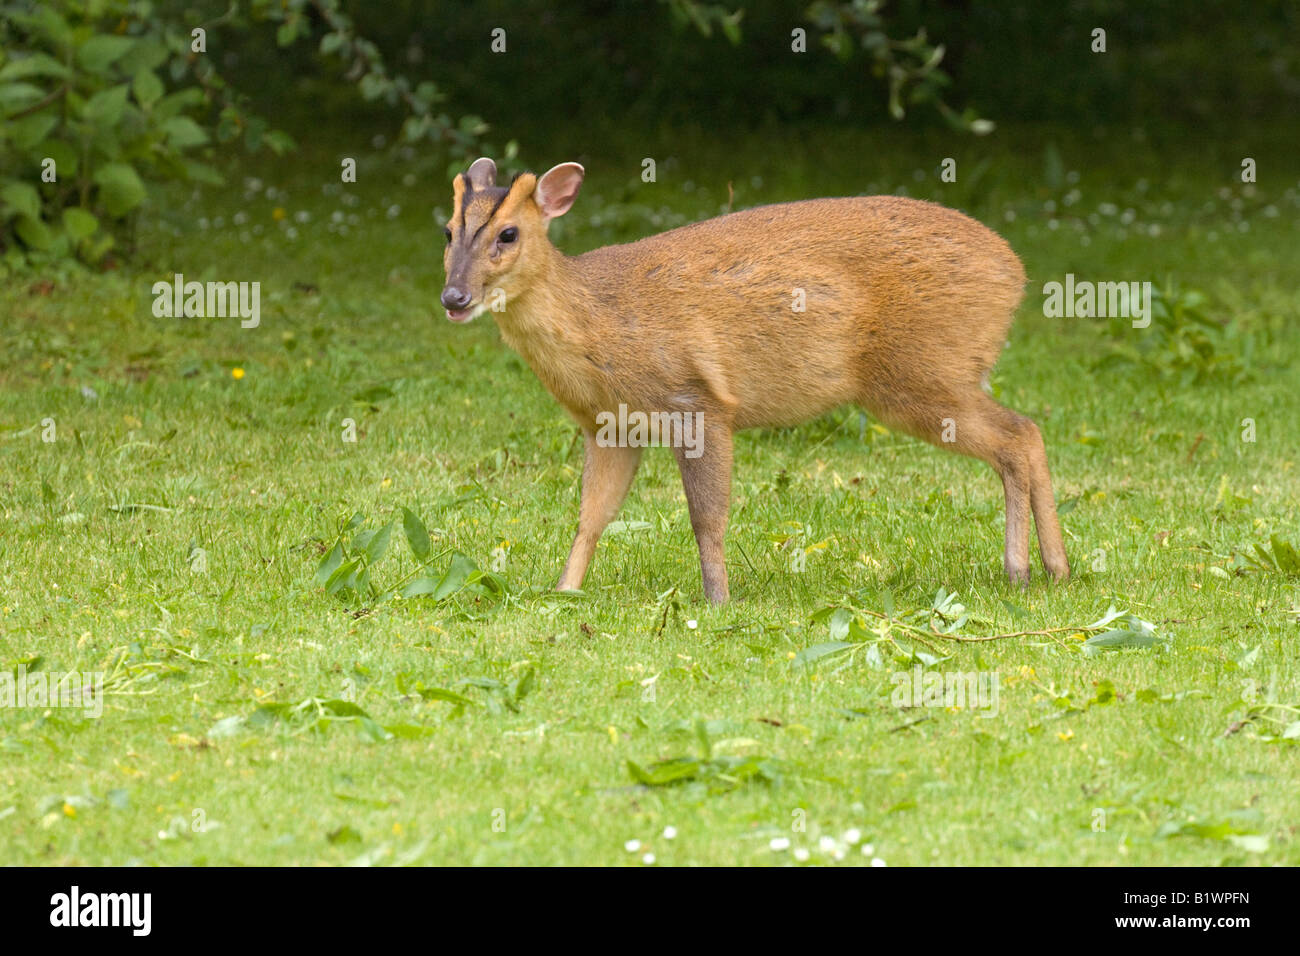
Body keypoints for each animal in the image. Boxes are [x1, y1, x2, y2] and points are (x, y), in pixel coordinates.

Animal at [439, 157, 1070, 604]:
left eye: (508, 235)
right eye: (447, 231)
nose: (453, 297)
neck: (596, 324)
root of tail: (1015, 272)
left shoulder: (698, 402)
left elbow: (707, 516)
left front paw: (717, 600)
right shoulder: (608, 427)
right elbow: (592, 516)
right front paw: (564, 592)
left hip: (922, 373)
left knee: (1018, 435)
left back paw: (1028, 570)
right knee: (1028, 431)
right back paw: (1051, 570)